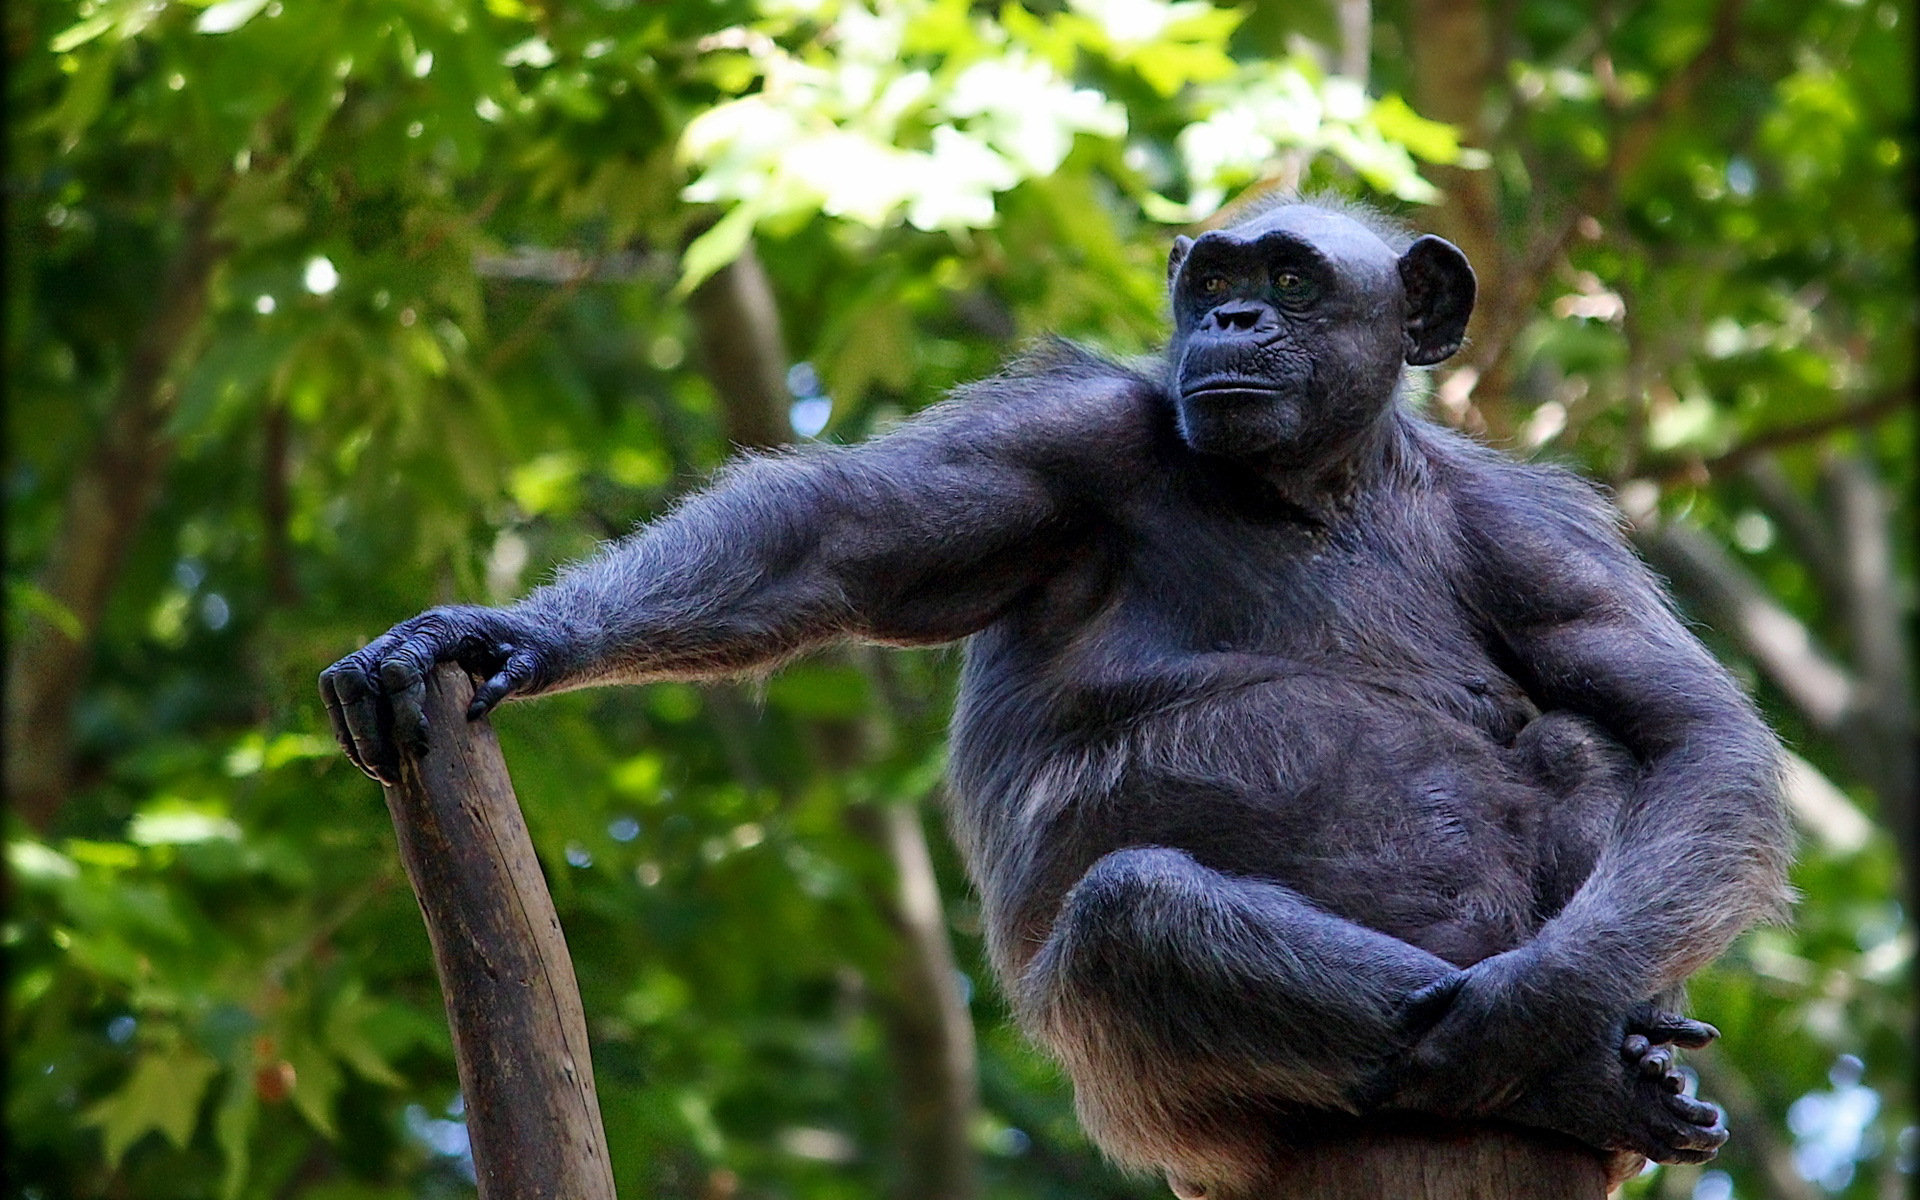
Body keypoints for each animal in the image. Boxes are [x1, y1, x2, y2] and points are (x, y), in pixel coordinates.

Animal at [322, 198, 1791, 1197]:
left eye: (1293, 279)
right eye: (1216, 278)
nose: (1234, 321)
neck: (1316, 488)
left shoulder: (1543, 539)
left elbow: (1691, 729)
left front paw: (1540, 1004)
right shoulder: (1055, 445)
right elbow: (825, 535)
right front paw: (491, 635)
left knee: (1588, 750)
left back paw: (1585, 1057)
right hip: (1171, 1123)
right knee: (1138, 920)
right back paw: (1586, 1078)